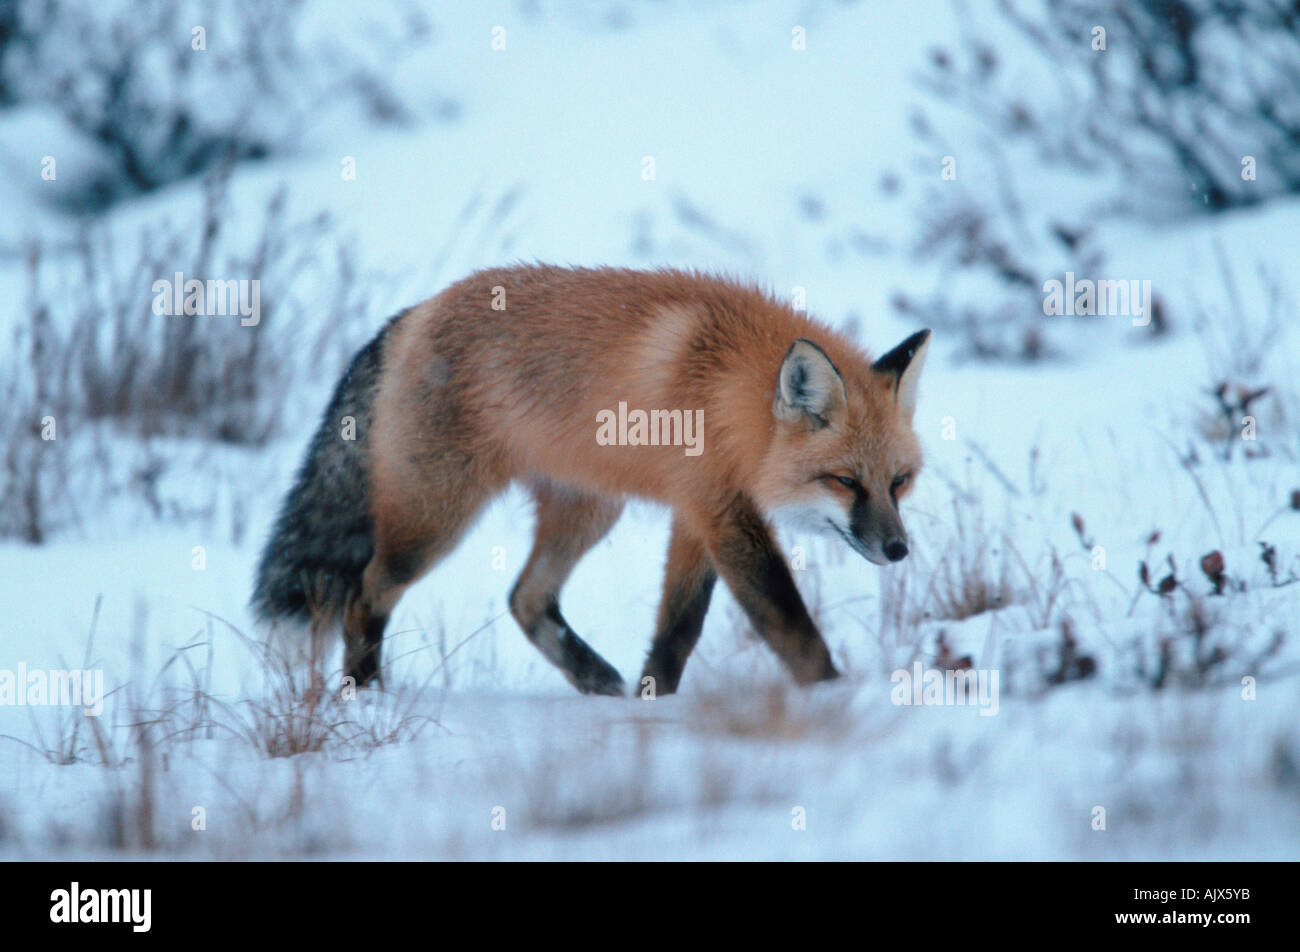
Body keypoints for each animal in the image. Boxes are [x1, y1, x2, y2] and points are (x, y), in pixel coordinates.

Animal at [252, 265, 930, 697]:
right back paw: (365, 695)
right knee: (366, 594)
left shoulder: (700, 512)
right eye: (844, 481)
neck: (727, 391)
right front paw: (833, 696)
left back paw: (594, 679)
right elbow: (785, 622)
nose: (898, 550)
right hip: (433, 521)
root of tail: (412, 314)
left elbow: (678, 629)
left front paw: (654, 706)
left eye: (898, 482)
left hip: (588, 511)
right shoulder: (724, 516)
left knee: (525, 599)